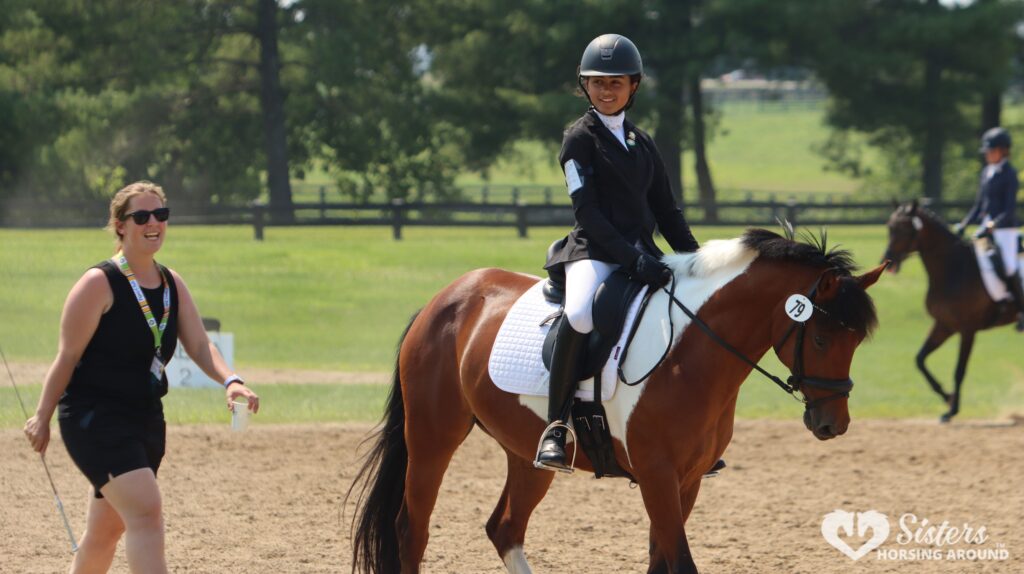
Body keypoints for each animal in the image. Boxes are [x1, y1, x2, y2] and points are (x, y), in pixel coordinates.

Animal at [348, 228, 886, 574]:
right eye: (821, 338)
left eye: (857, 342)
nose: (832, 423)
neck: (691, 349)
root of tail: (445, 297)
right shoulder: (656, 475)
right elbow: (682, 564)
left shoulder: (688, 480)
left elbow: (661, 562)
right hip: (432, 439)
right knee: (412, 531)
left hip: (528, 454)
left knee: (505, 527)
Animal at [883, 200, 1021, 422]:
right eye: (889, 227)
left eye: (905, 229)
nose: (888, 261)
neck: (953, 269)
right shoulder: (944, 325)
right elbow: (920, 360)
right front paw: (947, 397)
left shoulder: (967, 330)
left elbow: (959, 370)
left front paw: (952, 410)